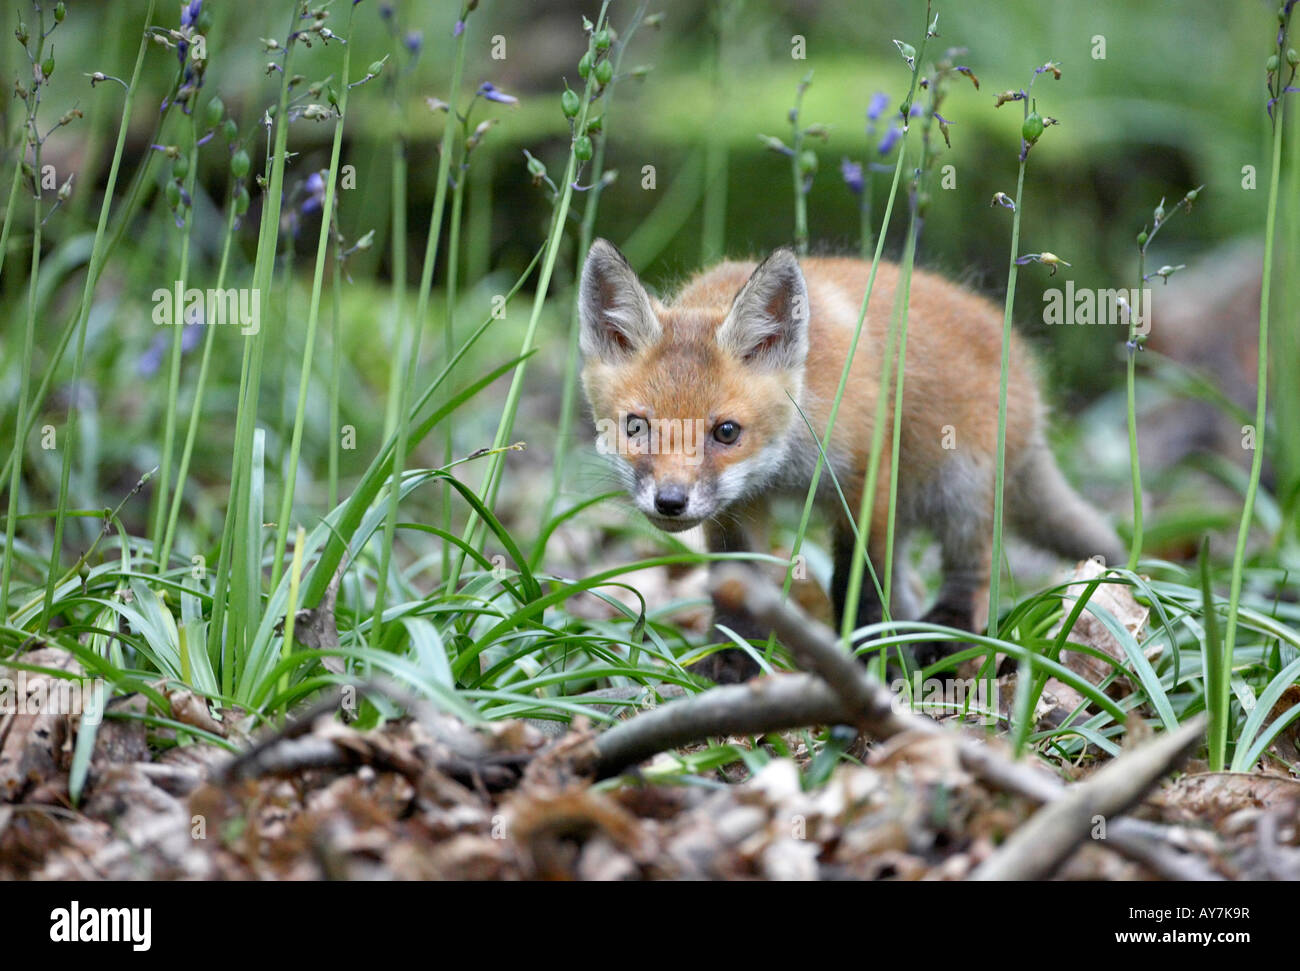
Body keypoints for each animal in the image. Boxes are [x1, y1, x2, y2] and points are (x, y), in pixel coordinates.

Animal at [577, 239, 1125, 683]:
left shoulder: (866, 477)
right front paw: (735, 656)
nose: (670, 502)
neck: (787, 461)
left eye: (725, 432)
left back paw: (941, 641)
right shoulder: (737, 506)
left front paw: (869, 663)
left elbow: (857, 582)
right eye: (636, 427)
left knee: (971, 573)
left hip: (961, 492)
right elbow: (735, 586)